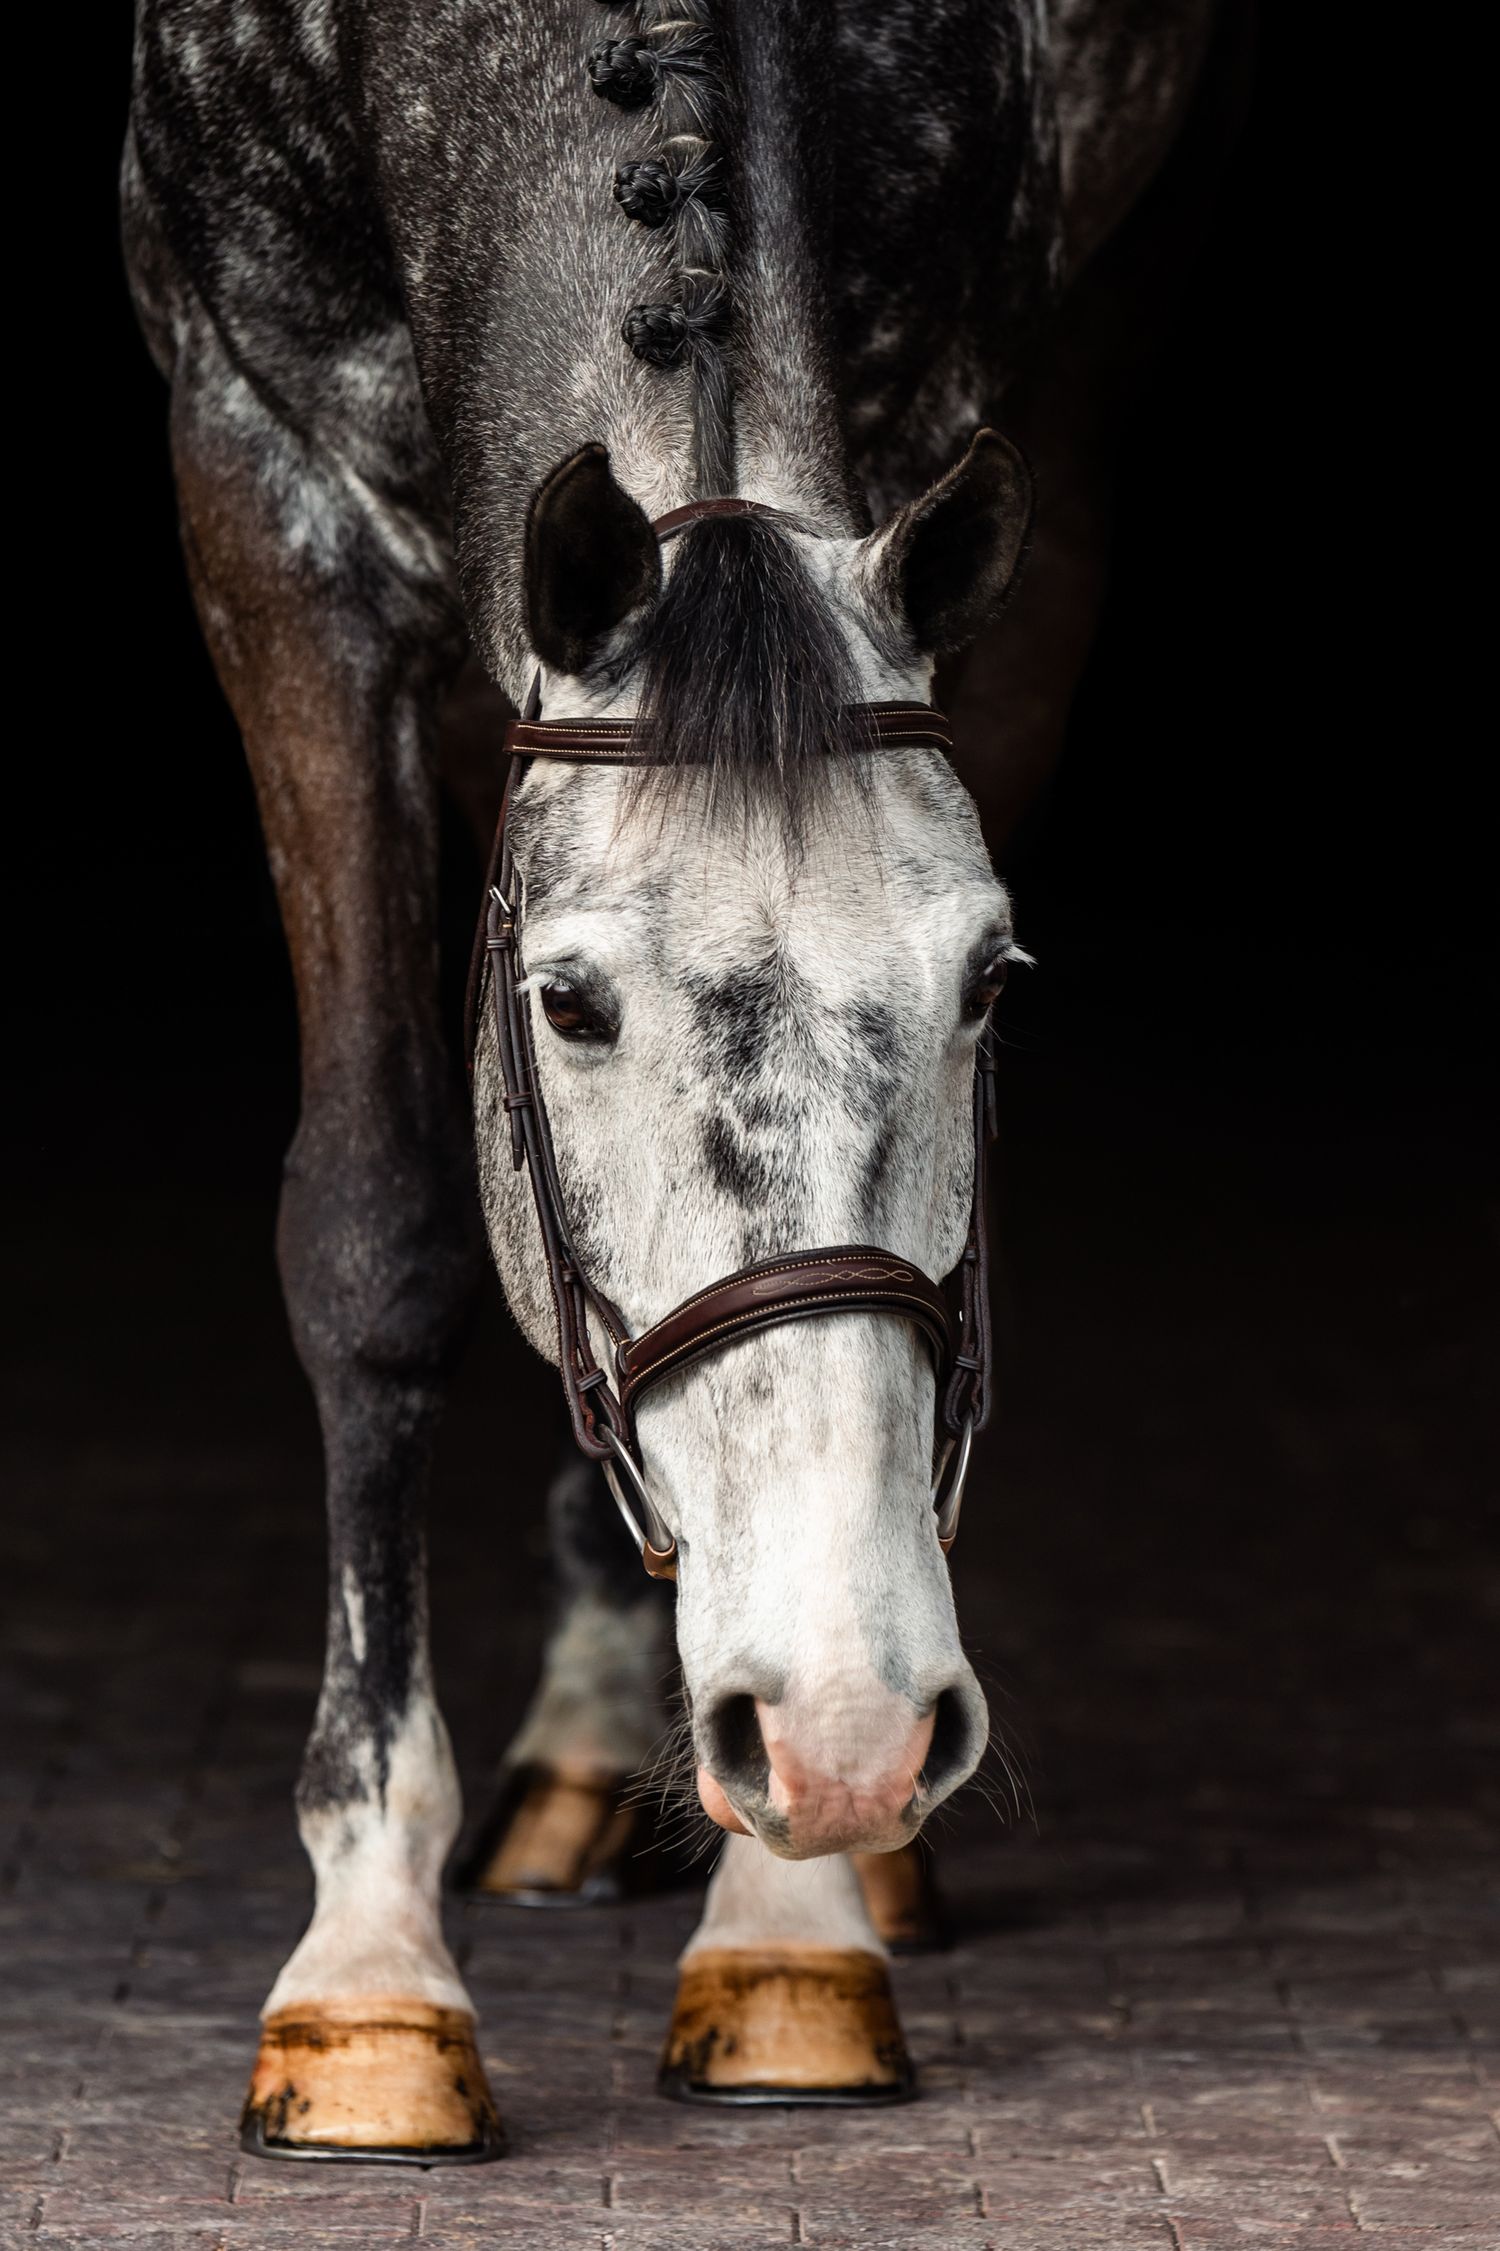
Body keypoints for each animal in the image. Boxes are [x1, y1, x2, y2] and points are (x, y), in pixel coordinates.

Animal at [124, 0, 1222, 2160]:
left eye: (992, 984)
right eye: (566, 1004)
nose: (849, 1725)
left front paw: (792, 1923)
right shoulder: (263, 491)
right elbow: (378, 1239)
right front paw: (370, 1961)